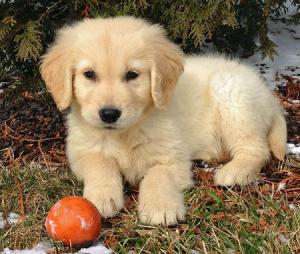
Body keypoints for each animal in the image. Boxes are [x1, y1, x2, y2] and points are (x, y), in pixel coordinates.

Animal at [39, 16, 286, 225]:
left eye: (132, 74)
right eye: (89, 74)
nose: (109, 114)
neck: (125, 132)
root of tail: (268, 96)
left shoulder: (172, 156)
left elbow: (158, 175)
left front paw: (160, 208)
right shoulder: (82, 151)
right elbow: (100, 163)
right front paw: (102, 196)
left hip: (233, 100)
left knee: (257, 149)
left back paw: (234, 172)